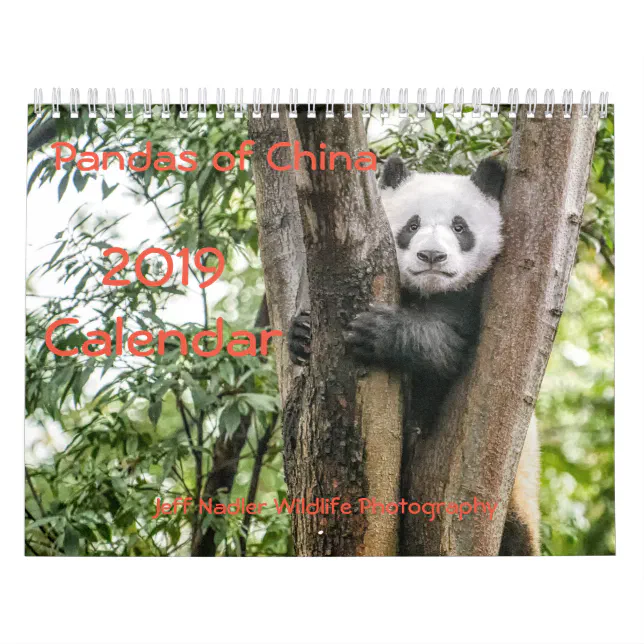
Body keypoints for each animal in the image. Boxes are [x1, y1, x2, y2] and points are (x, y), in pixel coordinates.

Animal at [288, 155, 540, 556]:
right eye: (412, 225)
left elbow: (446, 343)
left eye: (459, 226)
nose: (432, 256)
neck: (427, 289)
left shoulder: (472, 298)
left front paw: (377, 332)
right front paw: (301, 334)